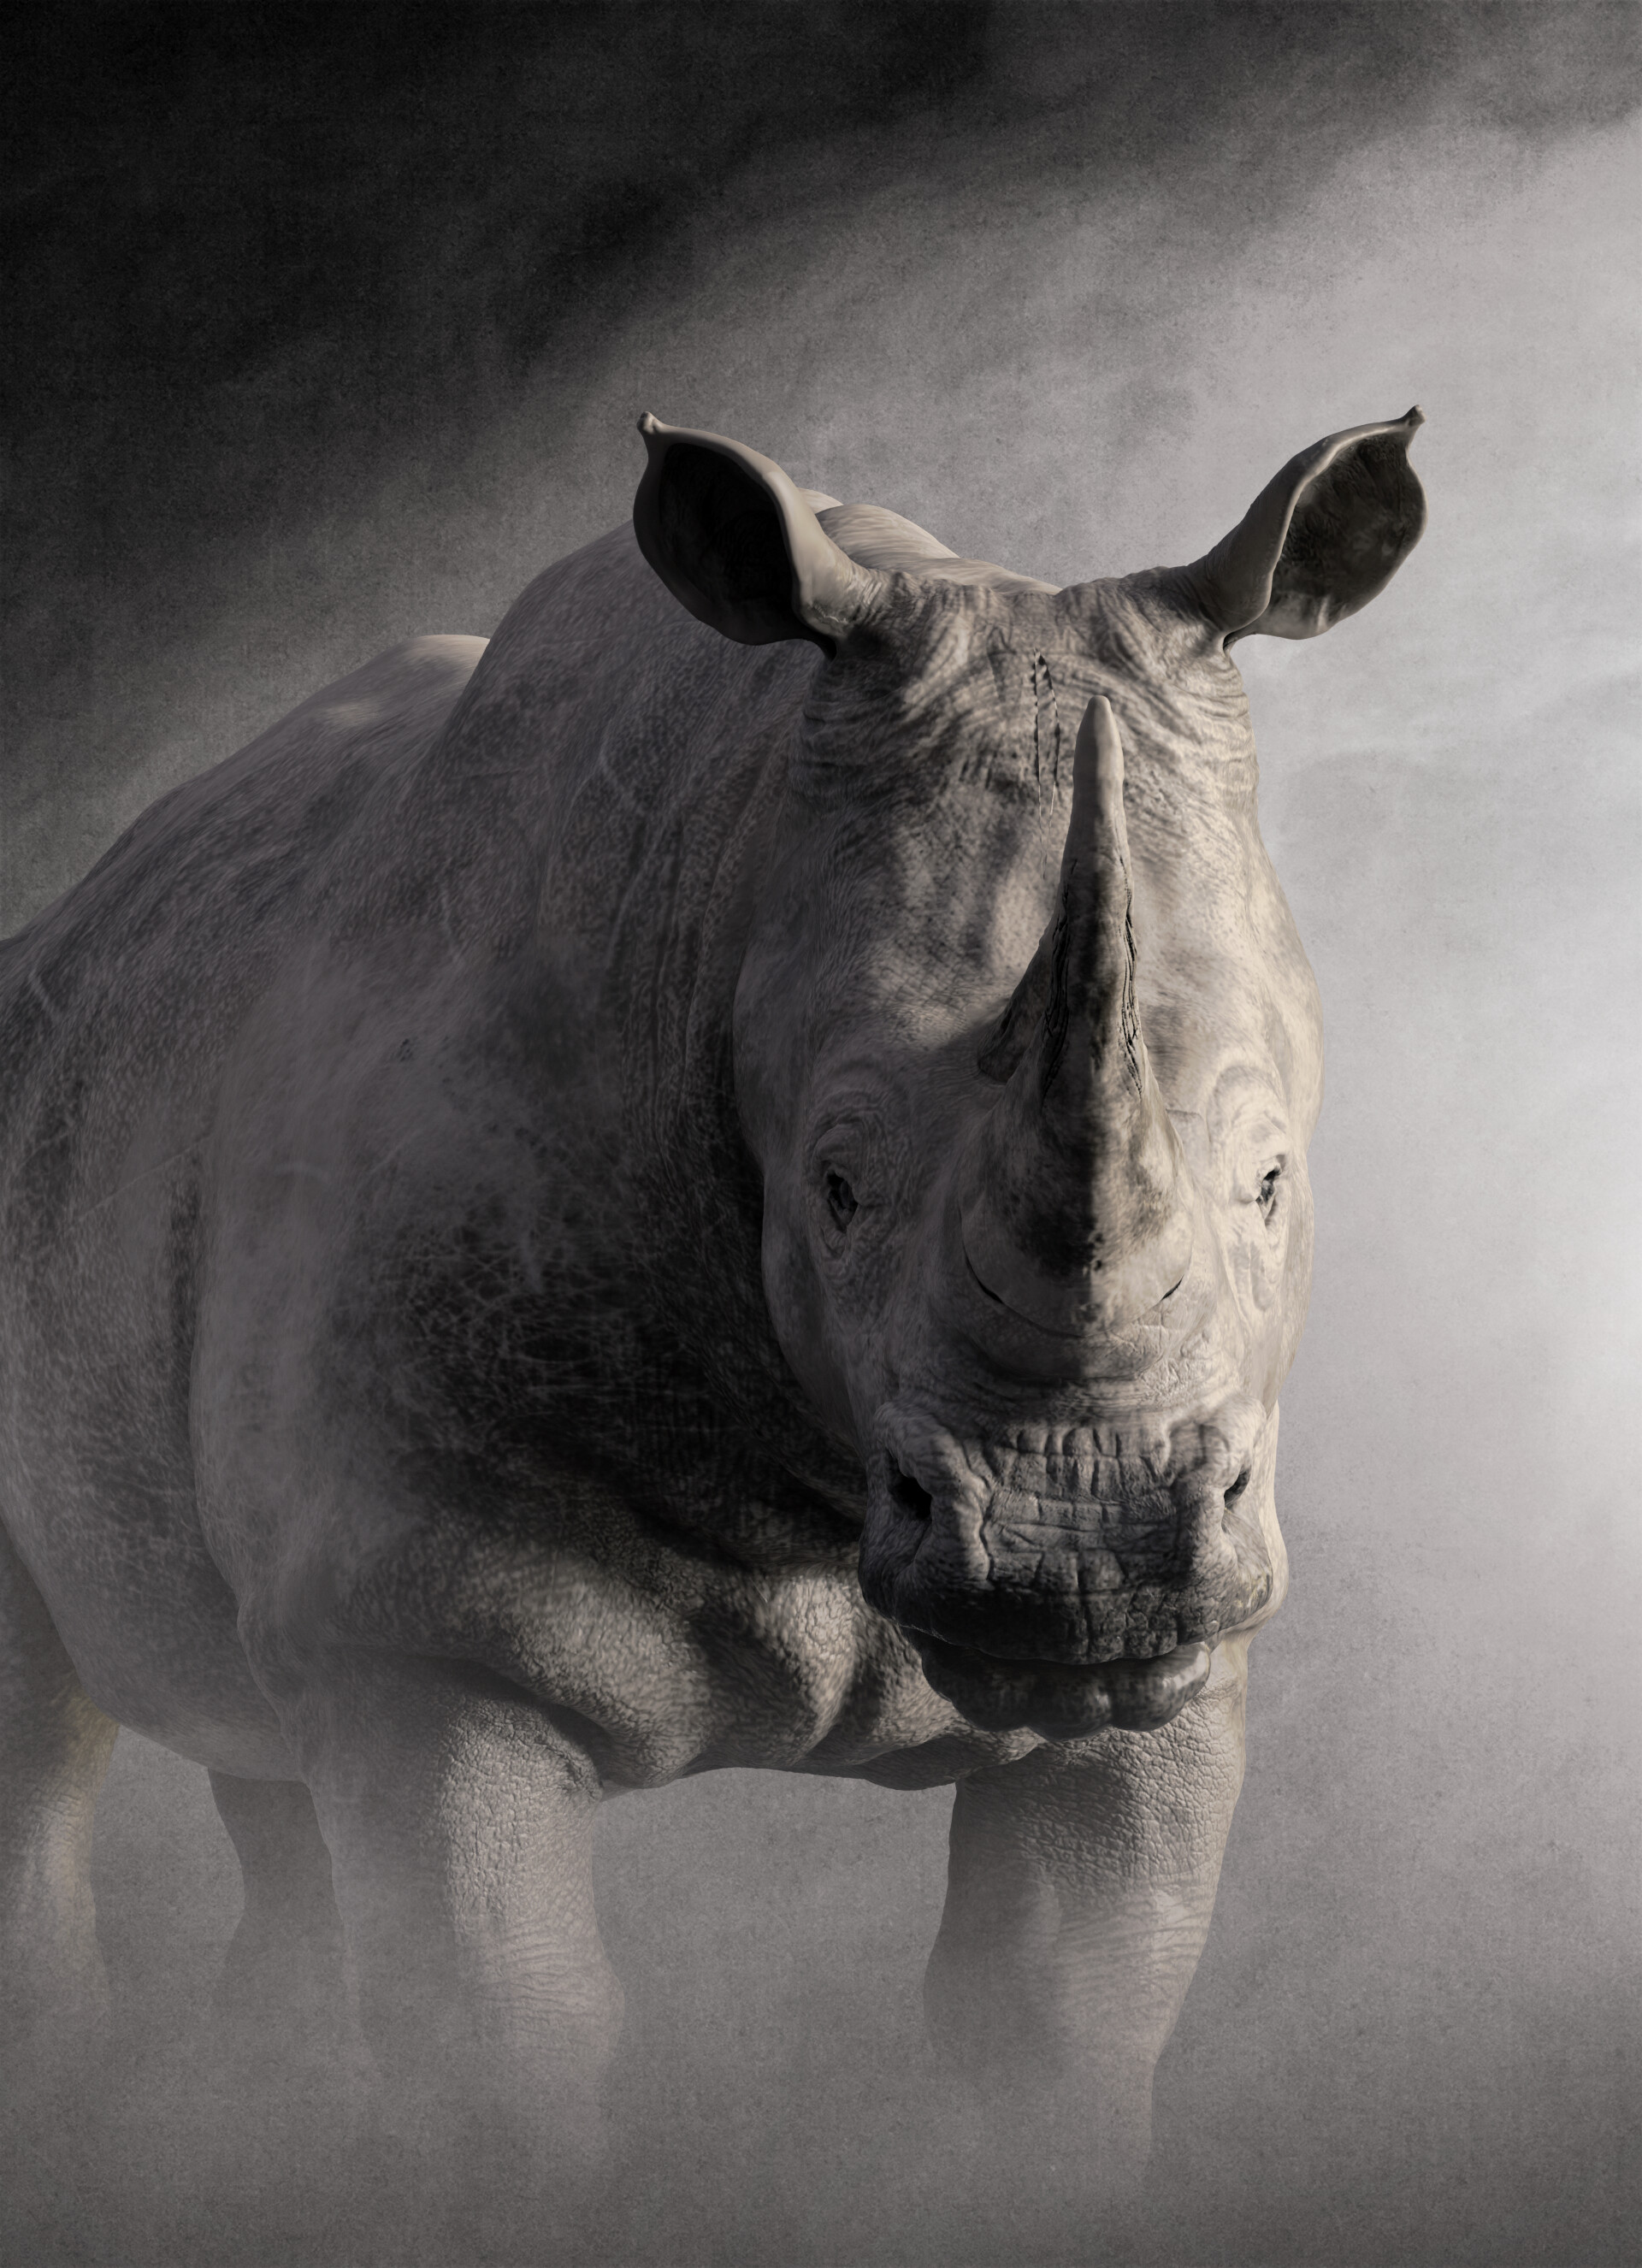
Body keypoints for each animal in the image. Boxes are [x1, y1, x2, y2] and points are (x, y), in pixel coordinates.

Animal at [0, 405, 1424, 2216]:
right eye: (834, 1183)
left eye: (1272, 1179)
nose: (1083, 1564)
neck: (732, 862)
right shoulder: (416, 1638)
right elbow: (505, 2042)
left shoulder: (1189, 1643)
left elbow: (1055, 2012)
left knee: (252, 1734)